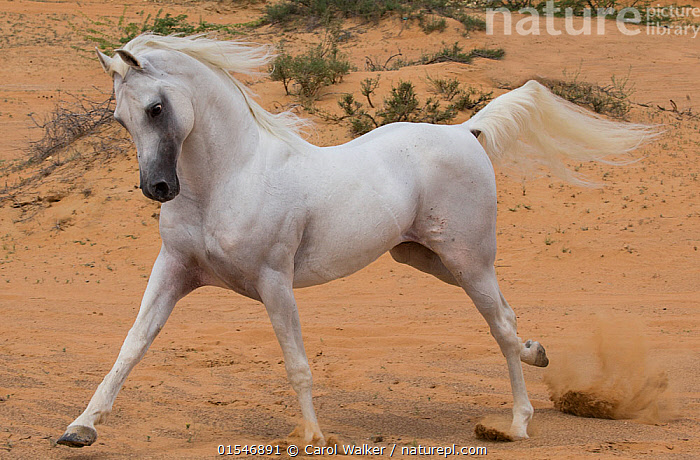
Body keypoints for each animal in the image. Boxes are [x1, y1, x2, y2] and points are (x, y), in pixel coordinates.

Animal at [57, 34, 656, 448]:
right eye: (120, 119)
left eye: (156, 108)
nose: (158, 188)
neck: (229, 177)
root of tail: (465, 132)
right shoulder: (174, 271)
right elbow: (131, 345)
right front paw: (81, 428)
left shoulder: (274, 282)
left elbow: (297, 364)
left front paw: (313, 438)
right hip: (427, 259)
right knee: (509, 317)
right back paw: (539, 356)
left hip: (468, 259)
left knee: (502, 328)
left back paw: (516, 424)